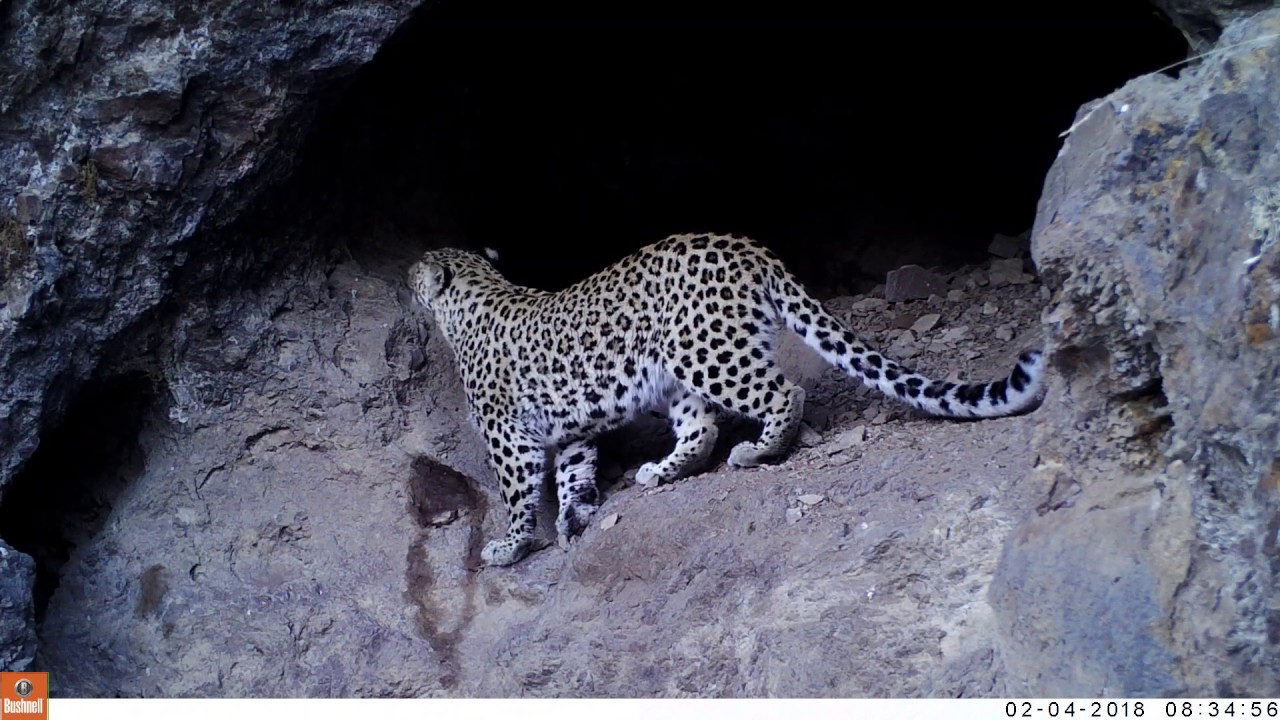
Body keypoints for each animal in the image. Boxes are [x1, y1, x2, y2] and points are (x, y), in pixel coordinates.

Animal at [408, 232, 1046, 567]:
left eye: (415, 273)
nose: (406, 282)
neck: (474, 299)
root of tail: (747, 247)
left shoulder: (508, 438)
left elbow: (519, 495)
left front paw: (509, 546)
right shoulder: (570, 430)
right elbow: (574, 474)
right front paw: (574, 519)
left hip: (706, 352)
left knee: (783, 391)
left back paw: (760, 451)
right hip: (678, 374)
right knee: (703, 428)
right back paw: (663, 470)